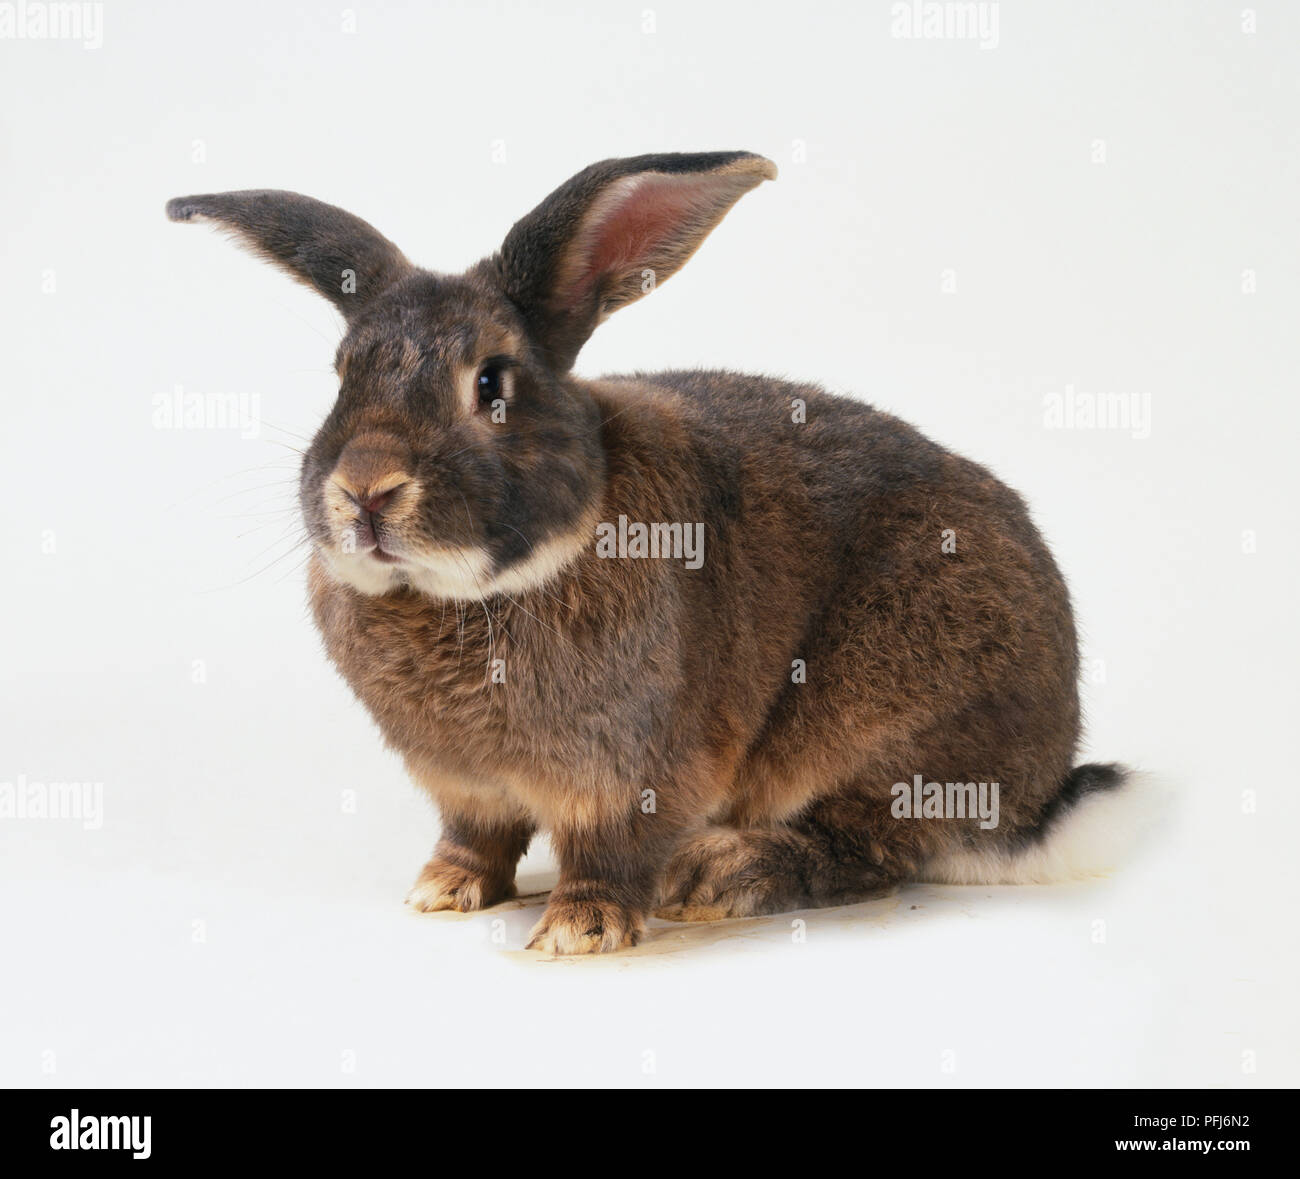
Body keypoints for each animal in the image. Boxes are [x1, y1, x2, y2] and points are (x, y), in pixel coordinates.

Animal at [167, 151, 1142, 954]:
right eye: (343, 374)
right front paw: (443, 891)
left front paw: (580, 928)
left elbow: (608, 851)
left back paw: (722, 874)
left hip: (893, 714)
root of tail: (1036, 795)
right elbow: (476, 837)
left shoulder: (634, 774)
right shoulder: (465, 787)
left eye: (492, 383)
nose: (366, 489)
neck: (463, 594)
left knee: (870, 846)